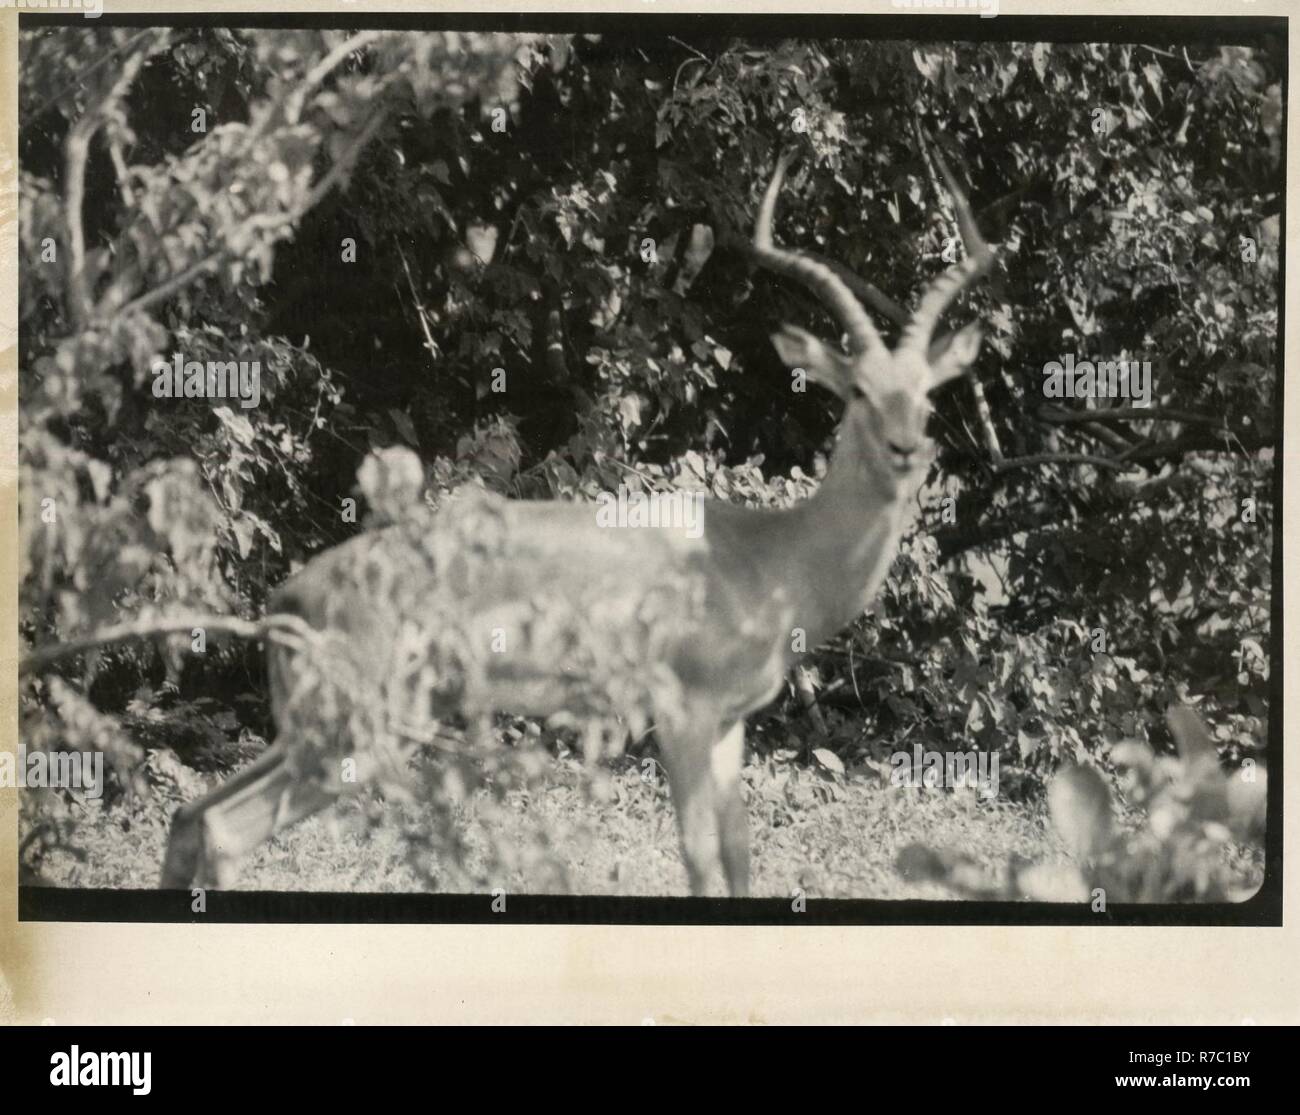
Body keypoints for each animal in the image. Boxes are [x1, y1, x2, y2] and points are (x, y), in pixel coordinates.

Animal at [160, 142, 995, 896]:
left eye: (926, 391)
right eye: (857, 388)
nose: (906, 448)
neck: (767, 556)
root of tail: (288, 599)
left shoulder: (730, 724)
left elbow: (739, 859)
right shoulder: (682, 714)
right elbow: (701, 861)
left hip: (313, 735)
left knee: (188, 815)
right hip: (357, 735)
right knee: (225, 828)